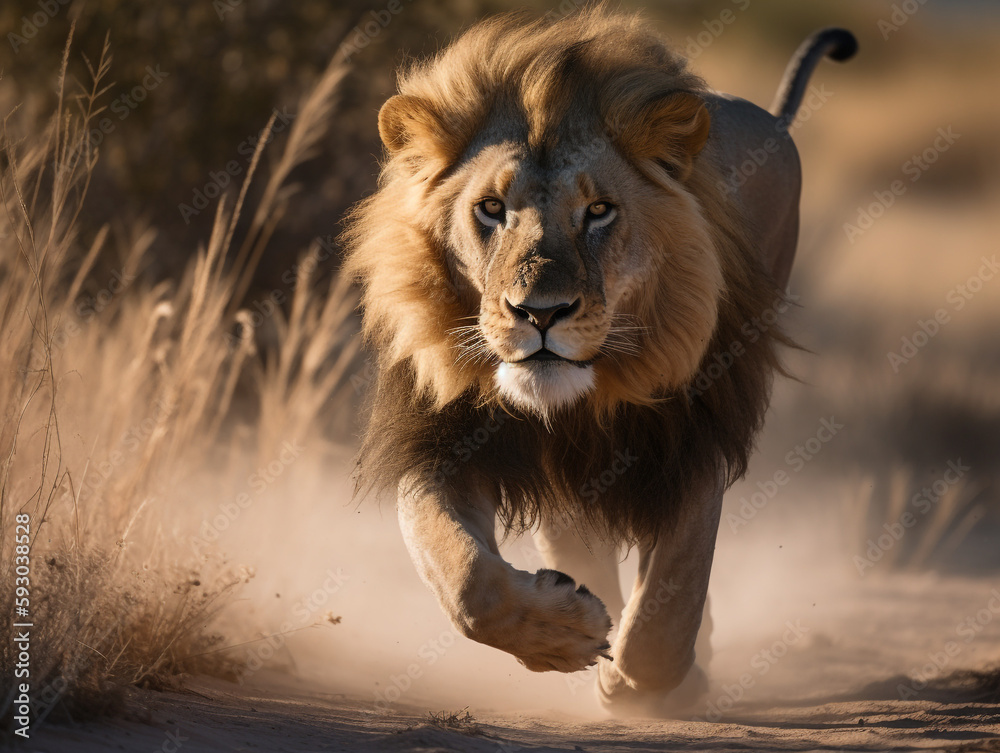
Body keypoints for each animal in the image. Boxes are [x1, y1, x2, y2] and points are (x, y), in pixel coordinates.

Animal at [343, 8, 856, 716]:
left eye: (599, 211)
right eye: (491, 209)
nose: (540, 313)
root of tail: (766, 119)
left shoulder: (692, 438)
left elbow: (676, 589)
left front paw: (644, 680)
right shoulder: (442, 441)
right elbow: (468, 581)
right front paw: (564, 631)